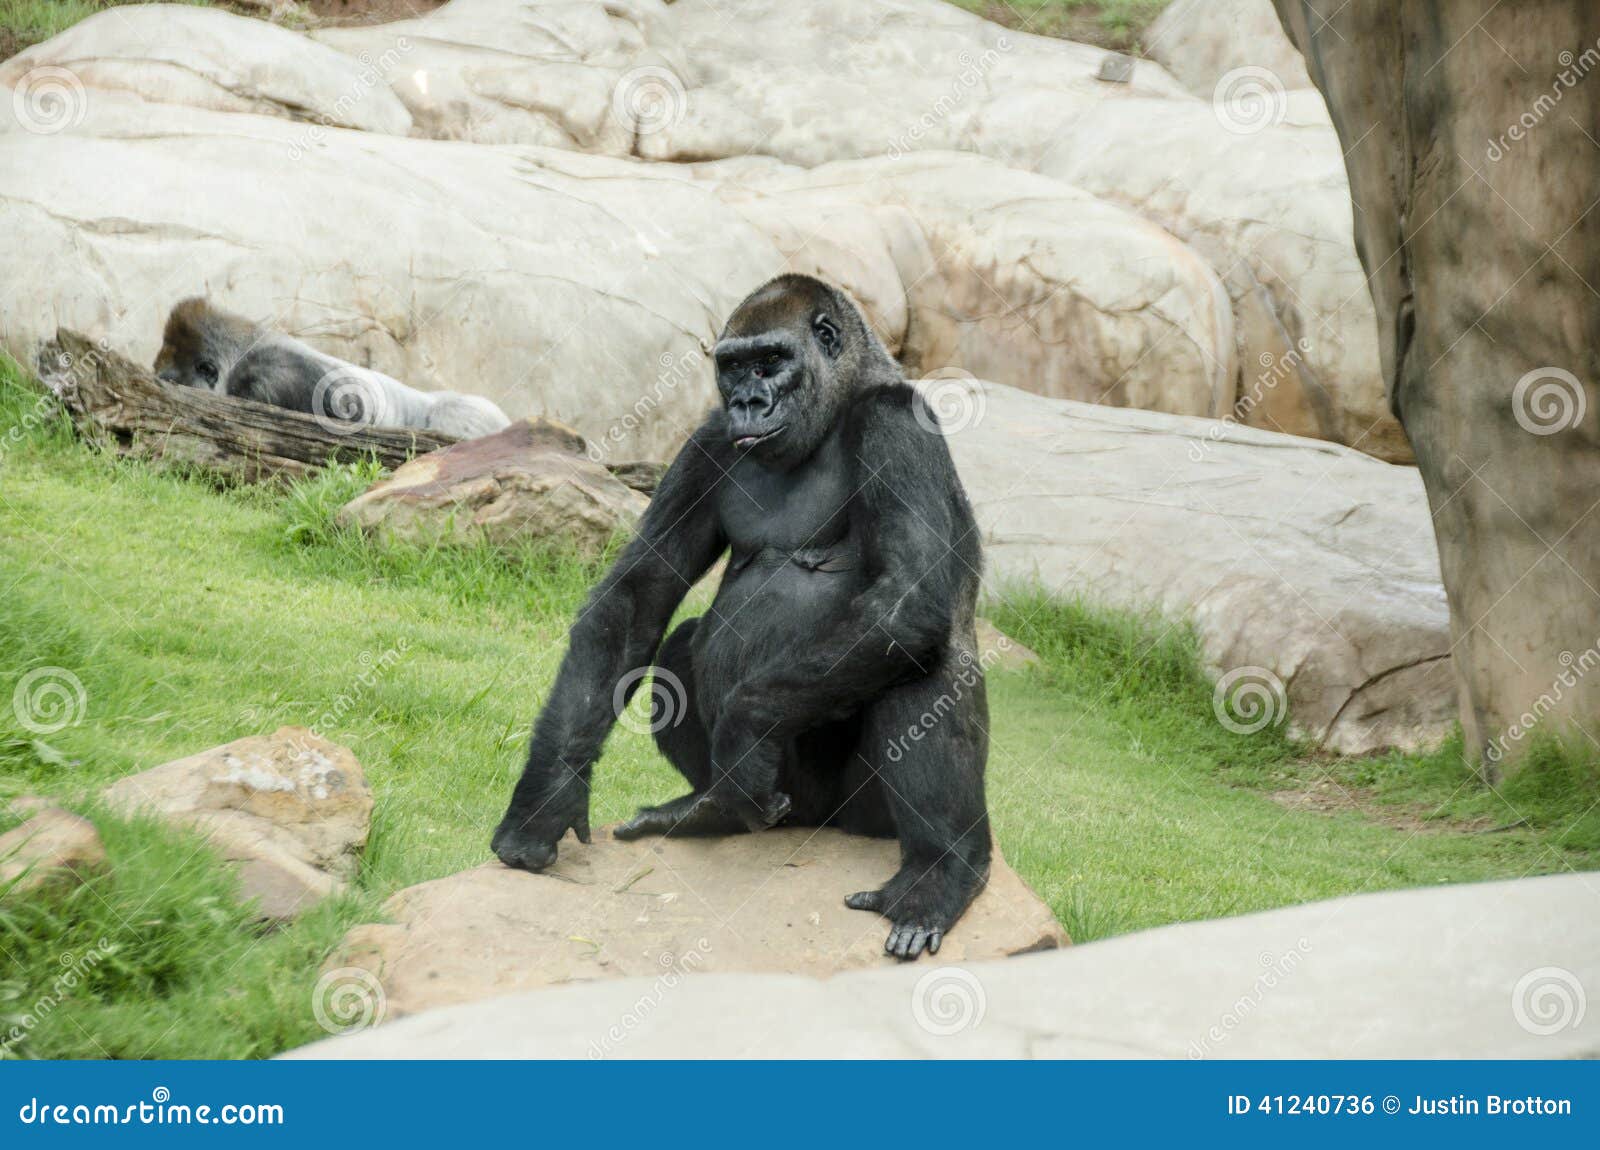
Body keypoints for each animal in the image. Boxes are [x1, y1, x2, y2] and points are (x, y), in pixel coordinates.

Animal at [492, 274, 991, 960]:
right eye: (731, 368)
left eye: (770, 361)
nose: (749, 402)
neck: (844, 395)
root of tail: (816, 822)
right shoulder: (706, 439)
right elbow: (640, 594)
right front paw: (547, 797)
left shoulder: (898, 423)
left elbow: (906, 601)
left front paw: (743, 735)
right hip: (789, 808)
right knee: (683, 644)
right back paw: (707, 810)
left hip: (859, 819)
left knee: (919, 657)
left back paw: (943, 866)